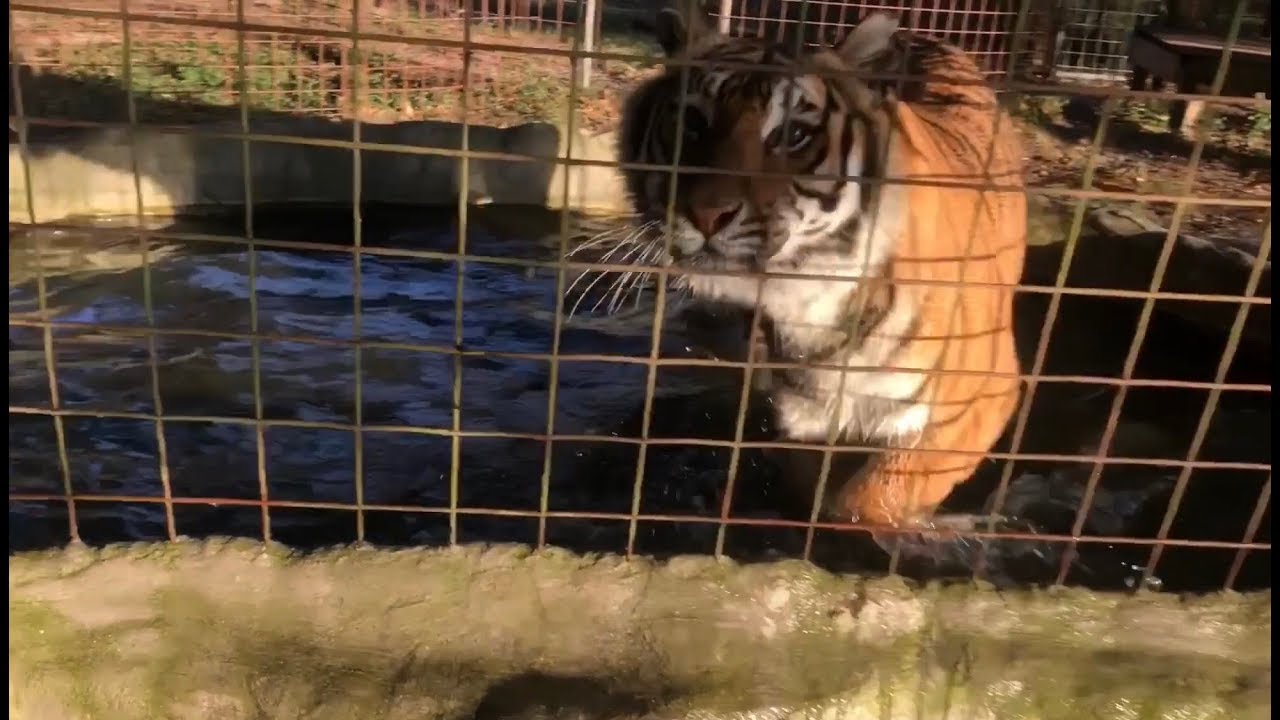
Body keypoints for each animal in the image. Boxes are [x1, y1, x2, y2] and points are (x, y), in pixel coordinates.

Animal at [614, 3, 1028, 533]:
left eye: (793, 135)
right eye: (693, 122)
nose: (706, 214)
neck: (807, 297)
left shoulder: (978, 400)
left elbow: (869, 501)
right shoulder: (800, 414)